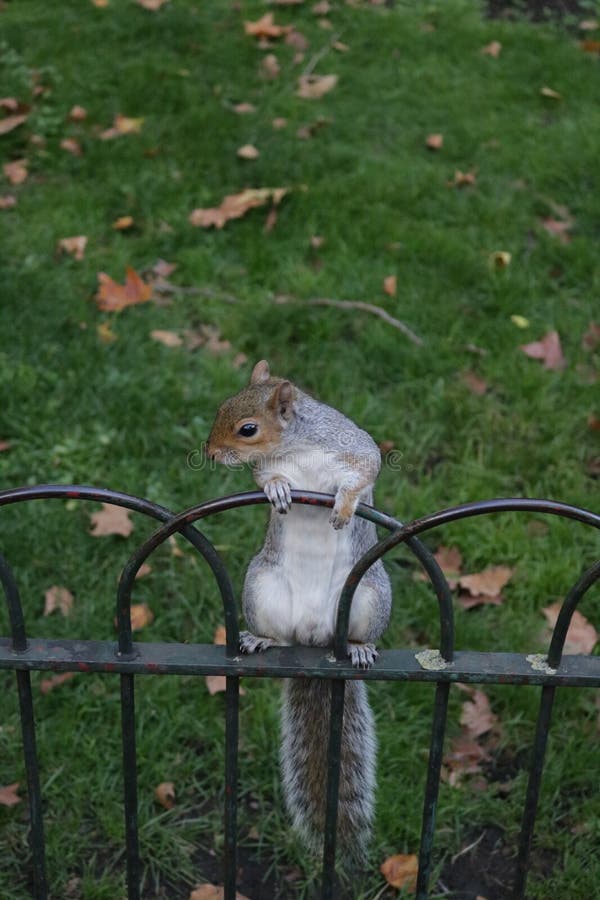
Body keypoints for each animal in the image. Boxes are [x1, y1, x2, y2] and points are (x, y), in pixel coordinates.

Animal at [206, 360, 392, 864]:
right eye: (222, 406)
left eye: (248, 429)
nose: (210, 454)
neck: (298, 444)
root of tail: (315, 640)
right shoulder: (270, 465)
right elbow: (265, 479)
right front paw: (277, 489)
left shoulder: (354, 447)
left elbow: (366, 470)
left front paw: (345, 507)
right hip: (261, 587)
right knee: (281, 635)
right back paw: (262, 638)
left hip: (370, 596)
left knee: (359, 632)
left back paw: (359, 646)